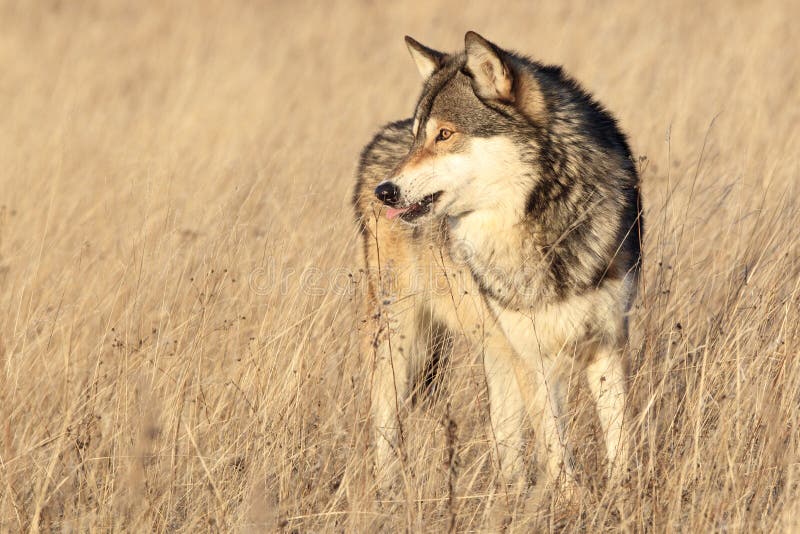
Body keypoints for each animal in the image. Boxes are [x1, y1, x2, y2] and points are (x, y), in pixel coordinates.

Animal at [352, 32, 643, 494]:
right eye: (419, 137)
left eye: (444, 134)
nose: (386, 192)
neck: (544, 231)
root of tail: (377, 142)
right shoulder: (536, 361)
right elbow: (558, 457)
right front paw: (572, 503)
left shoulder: (609, 344)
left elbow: (620, 443)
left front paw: (623, 496)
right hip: (399, 346)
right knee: (385, 430)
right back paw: (388, 496)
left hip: (497, 355)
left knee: (507, 449)